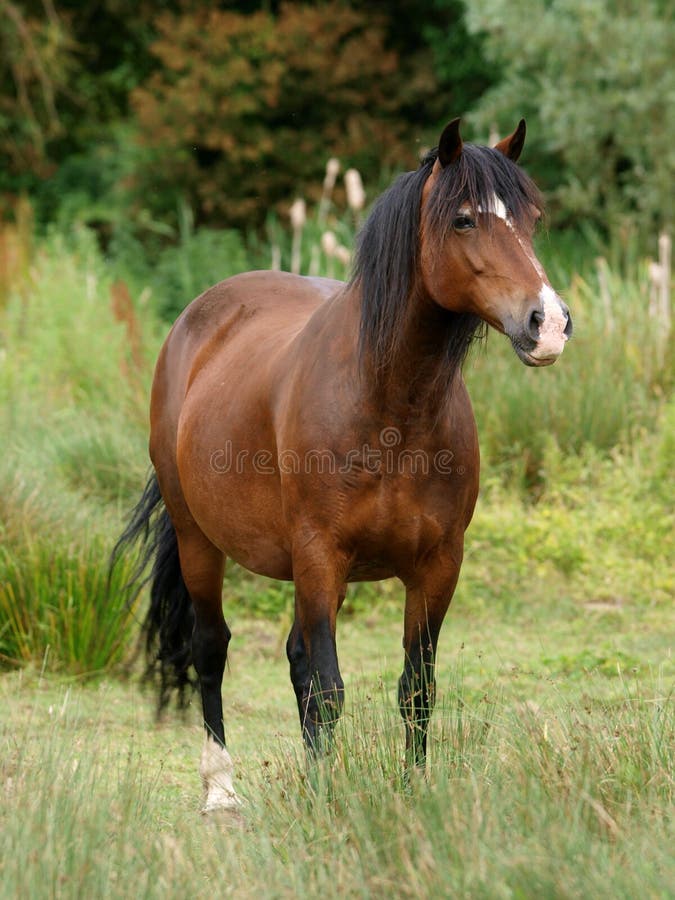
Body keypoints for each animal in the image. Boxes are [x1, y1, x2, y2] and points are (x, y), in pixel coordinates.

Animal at [113, 118, 572, 813]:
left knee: (296, 657)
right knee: (212, 648)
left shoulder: (438, 567)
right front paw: (327, 800)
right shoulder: (319, 554)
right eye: (464, 219)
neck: (389, 408)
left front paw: (406, 791)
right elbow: (328, 688)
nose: (548, 324)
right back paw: (220, 789)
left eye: (531, 218)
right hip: (200, 542)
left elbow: (415, 687)